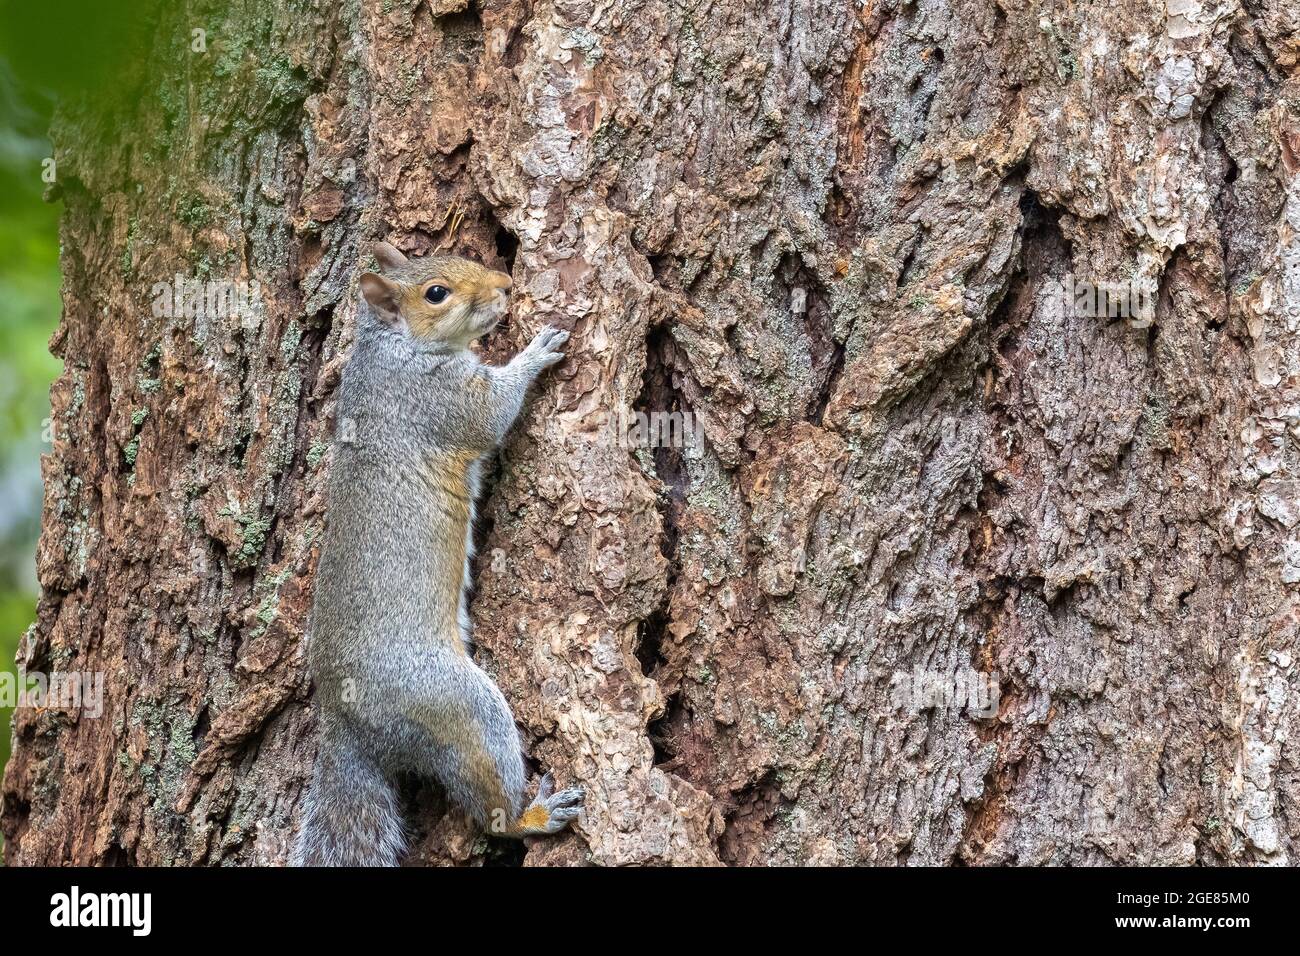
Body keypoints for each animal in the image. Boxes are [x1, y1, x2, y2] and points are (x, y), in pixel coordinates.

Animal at [290, 241, 582, 867]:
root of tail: (344, 722)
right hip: (454, 706)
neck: (391, 349)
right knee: (490, 803)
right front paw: (535, 351)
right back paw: (533, 815)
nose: (505, 286)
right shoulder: (442, 400)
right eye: (436, 293)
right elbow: (491, 413)